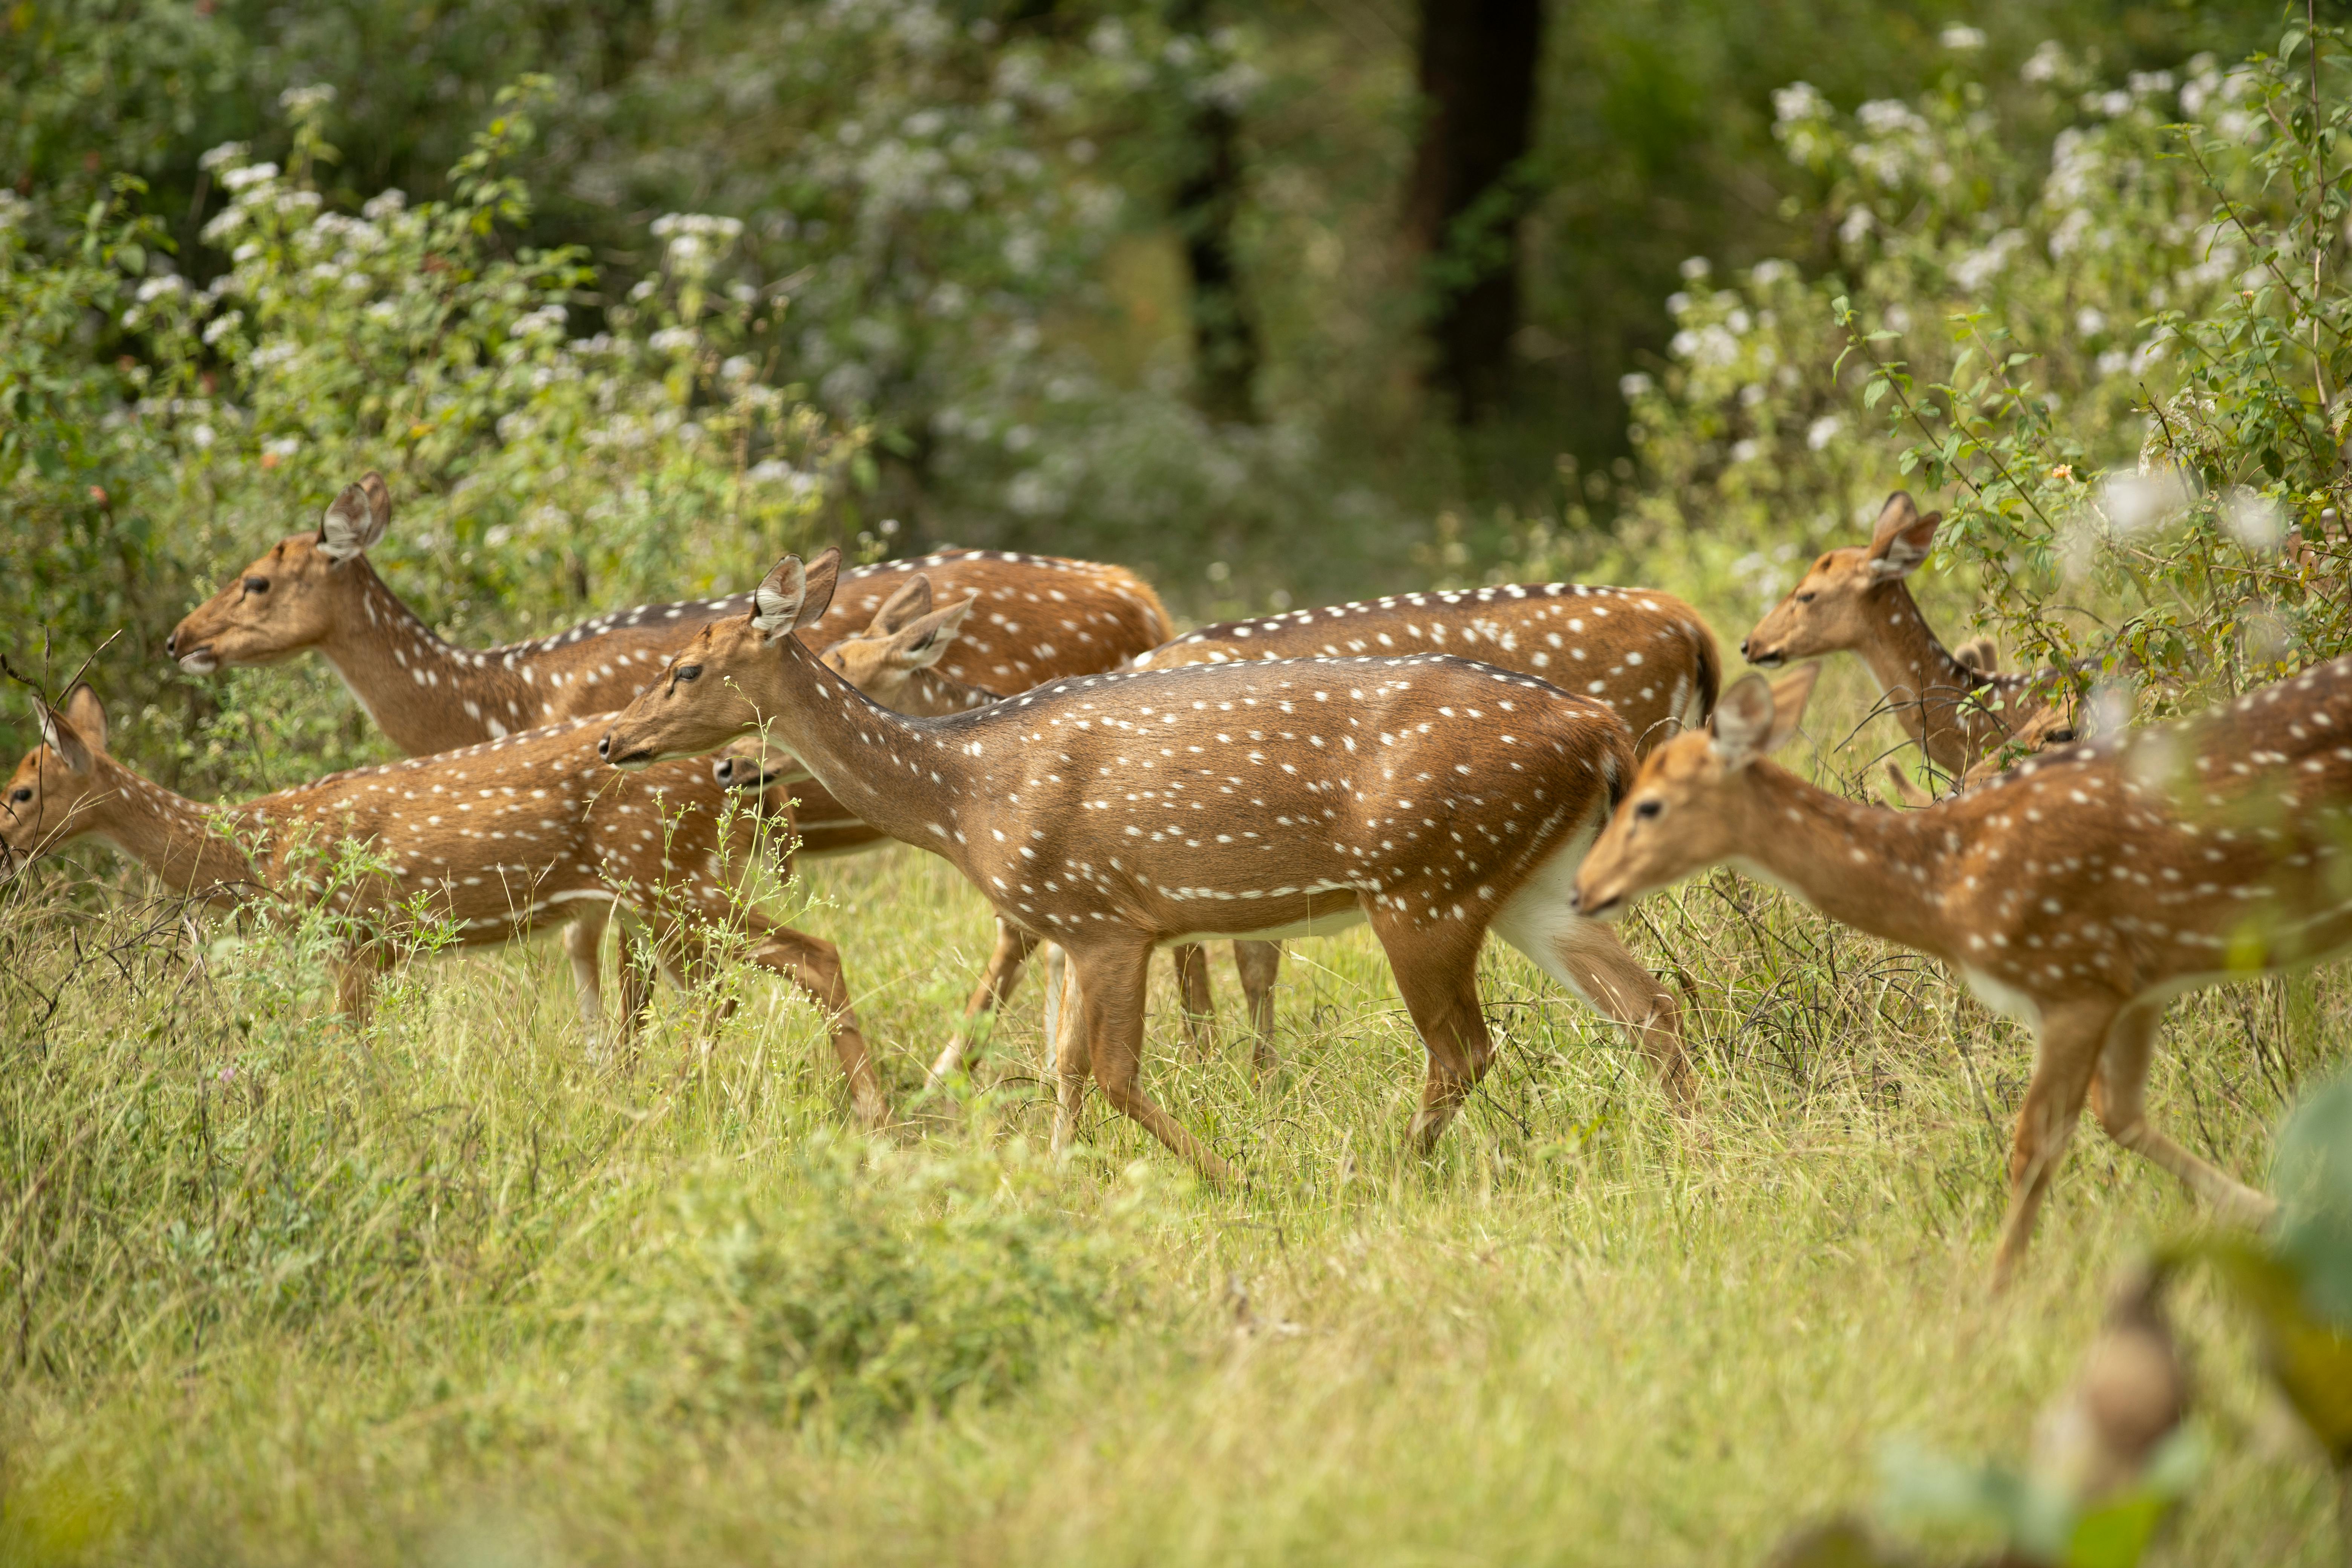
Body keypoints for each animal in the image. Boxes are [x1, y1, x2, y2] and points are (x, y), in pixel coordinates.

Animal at [0, 686, 889, 1125]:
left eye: (20, 791)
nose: (4, 849)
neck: (260, 848)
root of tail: (718, 773)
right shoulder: (379, 949)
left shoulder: (357, 934)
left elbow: (352, 1053)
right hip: (663, 893)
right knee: (739, 984)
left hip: (665, 875)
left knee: (796, 961)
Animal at [594, 549, 1698, 1182]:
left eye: (686, 668)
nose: (613, 740)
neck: (967, 797)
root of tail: (1598, 733)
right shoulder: (1080, 929)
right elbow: (1072, 1066)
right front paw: (1062, 1176)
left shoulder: (1105, 916)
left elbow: (1117, 1073)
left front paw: (1235, 1177)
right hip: (1531, 884)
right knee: (1647, 1004)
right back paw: (1703, 1154)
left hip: (1427, 881)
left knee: (1466, 1048)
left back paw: (1387, 1170)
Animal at [1568, 661, 2330, 1288]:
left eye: (1651, 804)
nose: (1581, 887)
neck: (1949, 883)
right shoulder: (2134, 980)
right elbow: (2121, 1115)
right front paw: (2274, 1214)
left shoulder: (2076, 982)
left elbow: (2034, 1145)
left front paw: (1991, 1303)